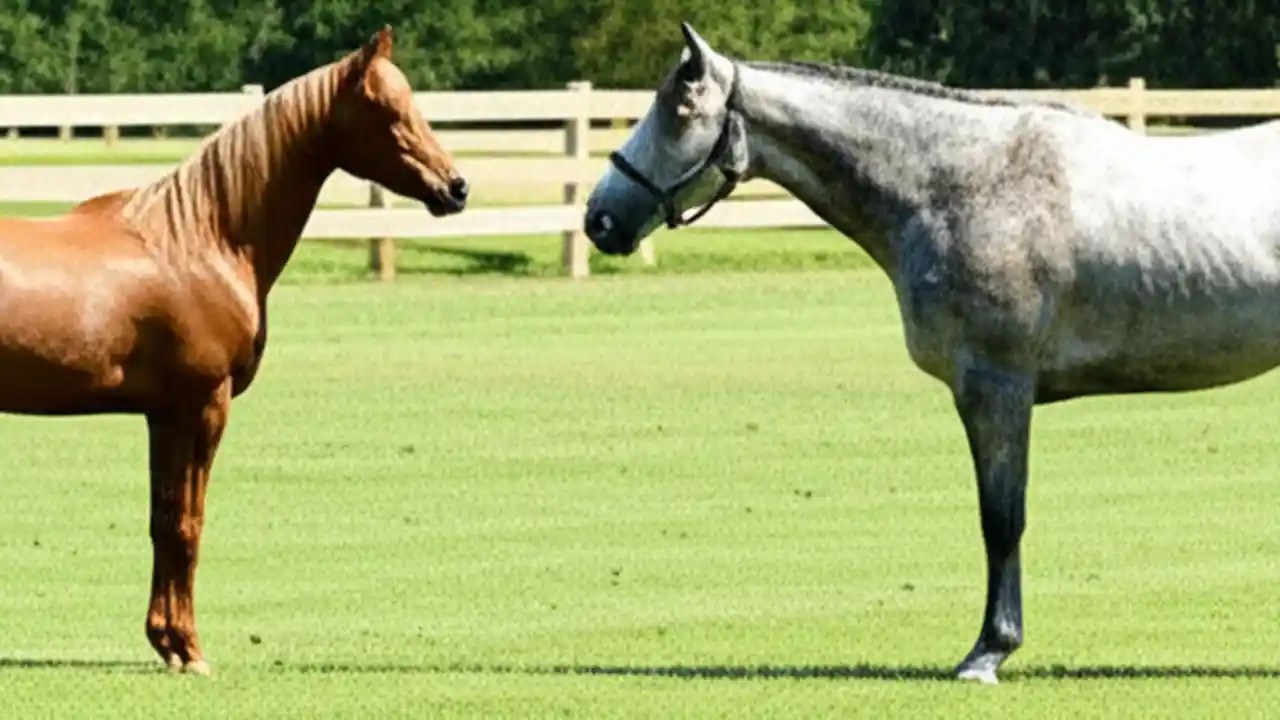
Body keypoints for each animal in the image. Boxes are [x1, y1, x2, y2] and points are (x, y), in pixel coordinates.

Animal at [0, 26, 468, 675]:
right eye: (388, 110)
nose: (456, 188)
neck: (206, 237)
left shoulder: (165, 414)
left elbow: (163, 518)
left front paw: (167, 642)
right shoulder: (203, 405)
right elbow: (186, 524)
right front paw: (188, 649)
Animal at [584, 23, 1280, 684]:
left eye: (678, 110)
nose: (599, 218)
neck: (961, 184)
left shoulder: (996, 387)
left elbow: (1001, 519)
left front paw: (989, 652)